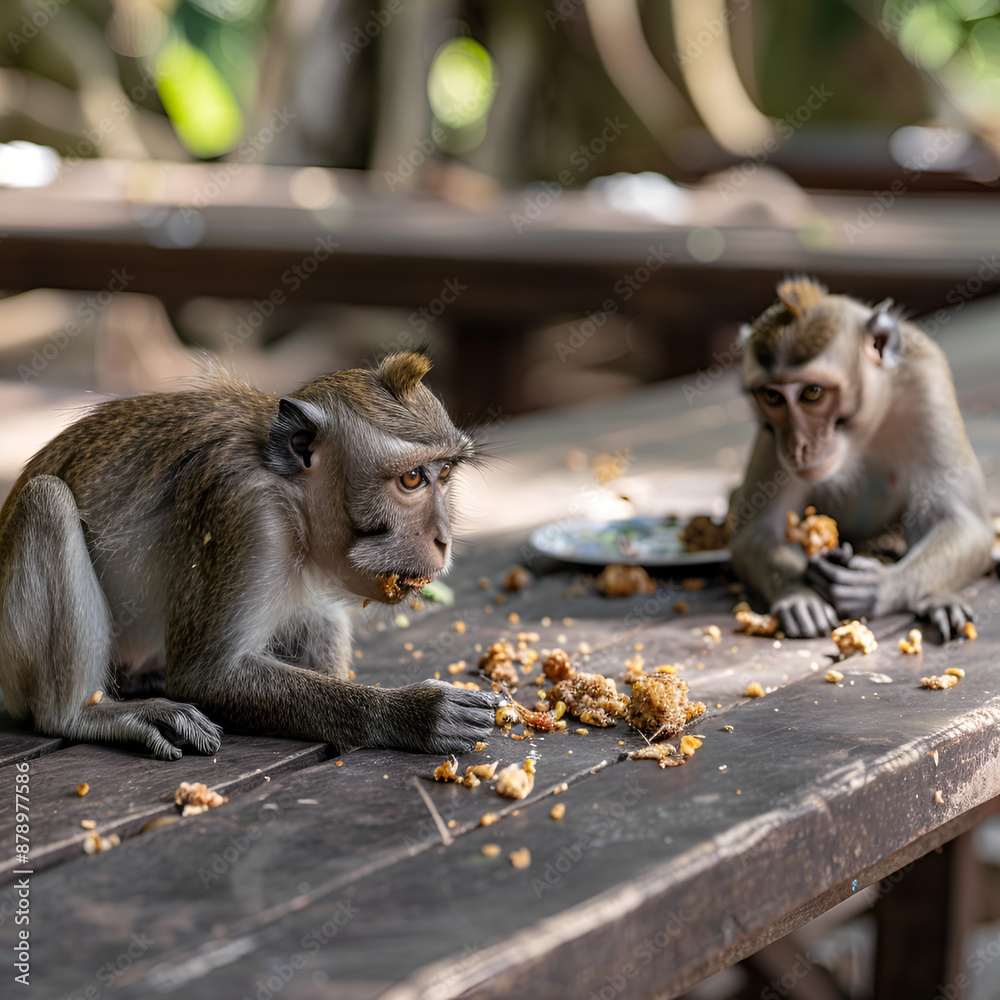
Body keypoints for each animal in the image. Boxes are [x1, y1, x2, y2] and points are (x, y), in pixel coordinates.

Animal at [0, 351, 498, 760]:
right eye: (412, 479)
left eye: (445, 473)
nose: (443, 539)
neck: (290, 495)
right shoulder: (246, 515)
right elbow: (206, 675)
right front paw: (414, 712)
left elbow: (316, 617)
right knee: (46, 502)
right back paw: (79, 715)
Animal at [727, 277, 994, 640]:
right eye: (772, 396)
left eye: (813, 392)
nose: (797, 446)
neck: (863, 428)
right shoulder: (771, 434)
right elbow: (756, 530)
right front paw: (799, 595)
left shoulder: (927, 384)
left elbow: (962, 521)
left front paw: (880, 586)